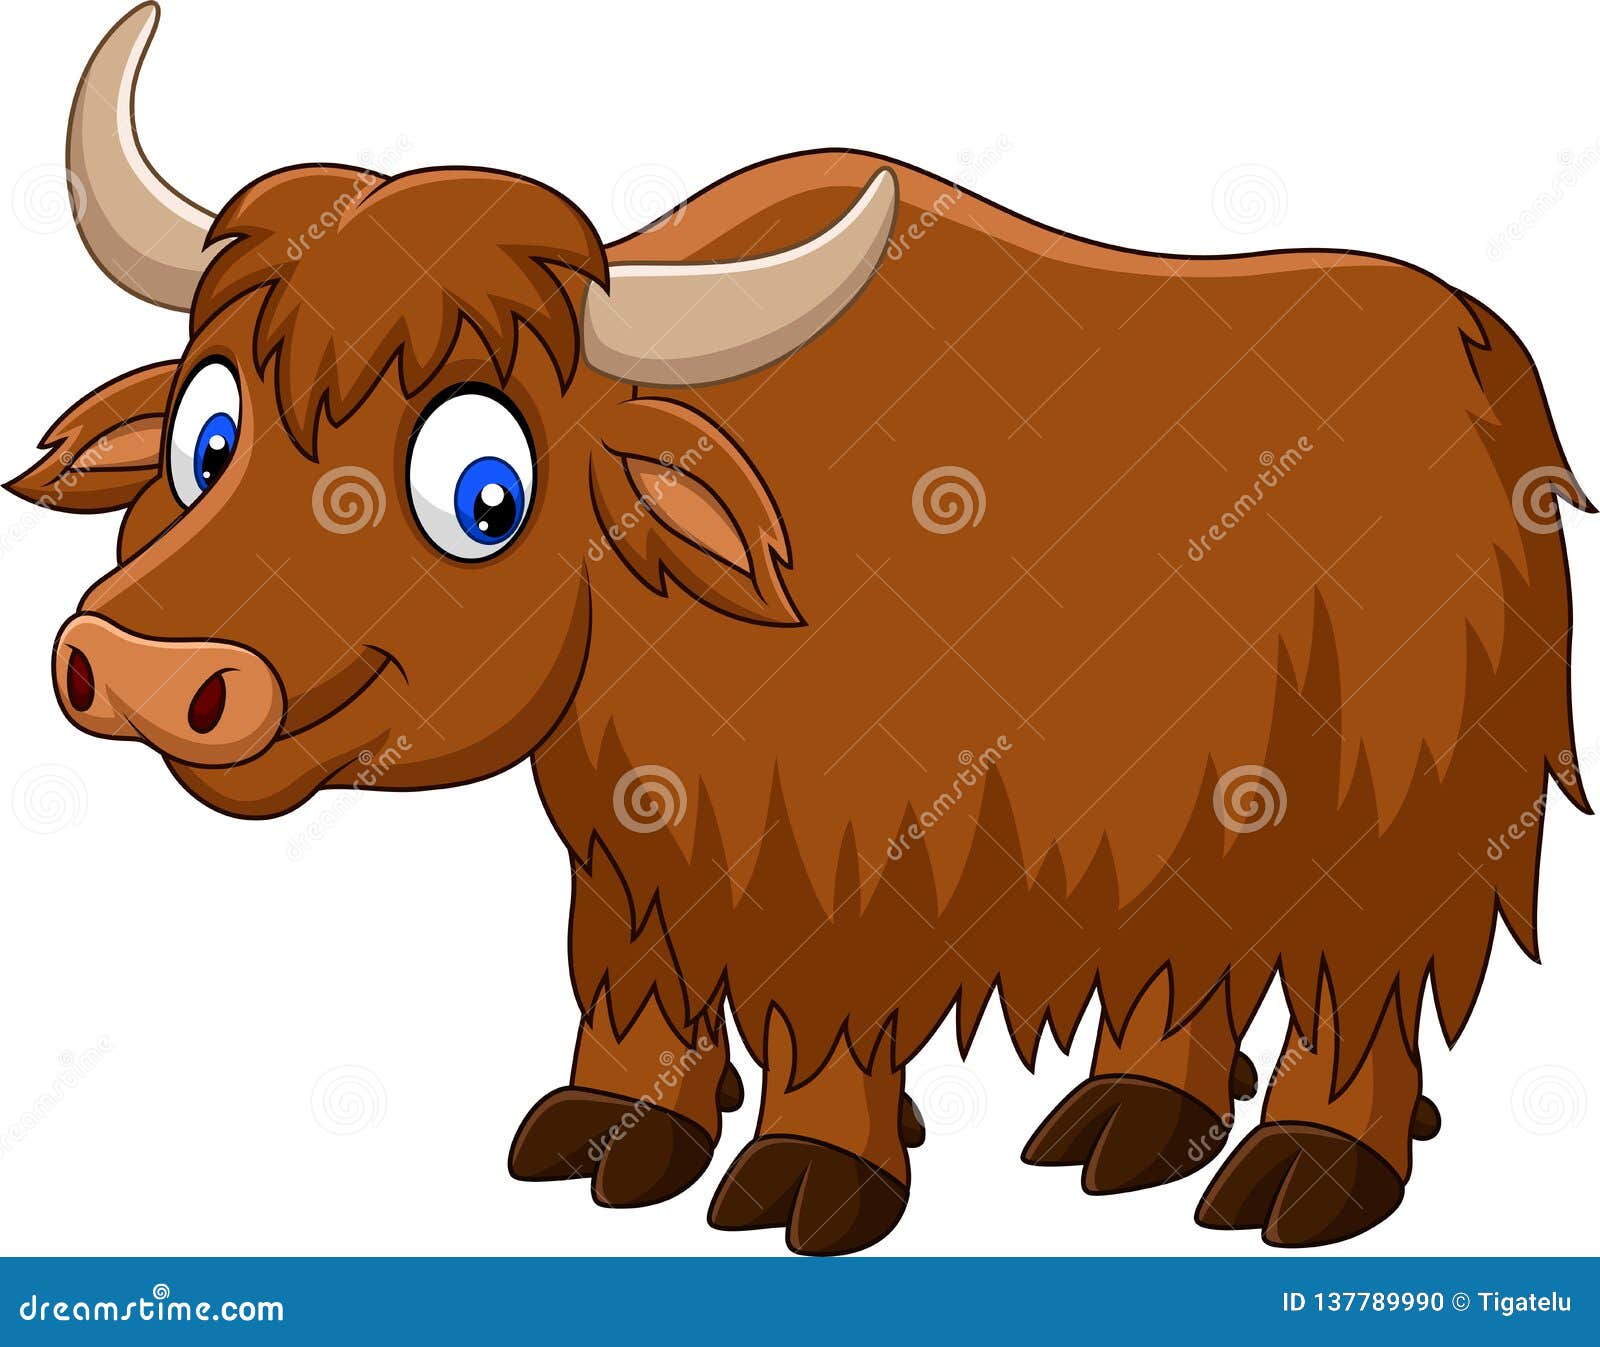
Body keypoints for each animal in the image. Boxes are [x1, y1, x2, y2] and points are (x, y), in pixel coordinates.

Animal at [12, 5, 1588, 1255]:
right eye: (208, 436)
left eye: (483, 489)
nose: (151, 668)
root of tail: (1481, 352)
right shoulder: (638, 838)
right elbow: (630, 973)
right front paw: (610, 1130)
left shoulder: (851, 856)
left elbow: (823, 1019)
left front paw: (813, 1174)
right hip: (1206, 802)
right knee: (1189, 959)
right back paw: (1132, 1118)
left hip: (1395, 809)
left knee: (1360, 988)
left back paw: (1307, 1170)